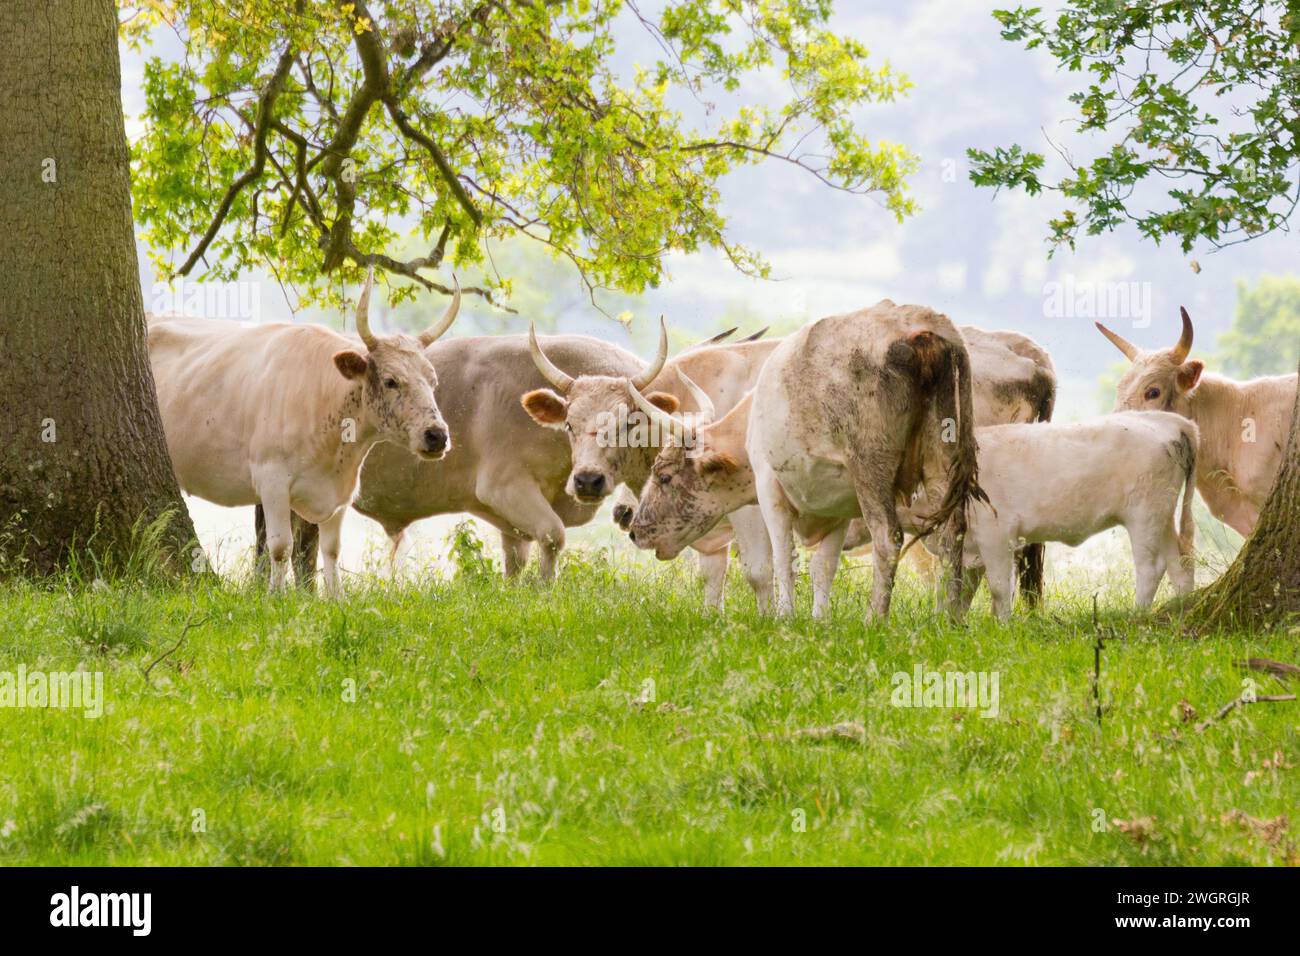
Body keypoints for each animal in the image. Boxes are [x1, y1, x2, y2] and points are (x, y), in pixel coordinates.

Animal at [148, 269, 457, 591]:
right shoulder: (271, 482)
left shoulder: (341, 491)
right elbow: (280, 547)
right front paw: (274, 595)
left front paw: (336, 597)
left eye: (433, 381)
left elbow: (329, 550)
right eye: (390, 381)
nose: (437, 435)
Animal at [629, 300, 986, 621]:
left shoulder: (770, 491)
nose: (634, 531)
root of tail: (920, 331)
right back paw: (949, 618)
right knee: (953, 533)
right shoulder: (840, 509)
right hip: (942, 460)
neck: (754, 415)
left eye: (664, 476)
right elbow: (822, 567)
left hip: (871, 470)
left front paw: (783, 617)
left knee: (888, 537)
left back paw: (875, 619)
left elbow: (780, 561)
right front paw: (819, 618)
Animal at [963, 412, 1198, 618]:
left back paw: (1137, 615)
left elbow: (999, 588)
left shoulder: (996, 534)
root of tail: (1172, 420)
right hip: (1162, 515)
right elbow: (961, 589)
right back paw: (1183, 610)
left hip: (1145, 513)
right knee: (1180, 565)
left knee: (1151, 568)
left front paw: (1002, 624)